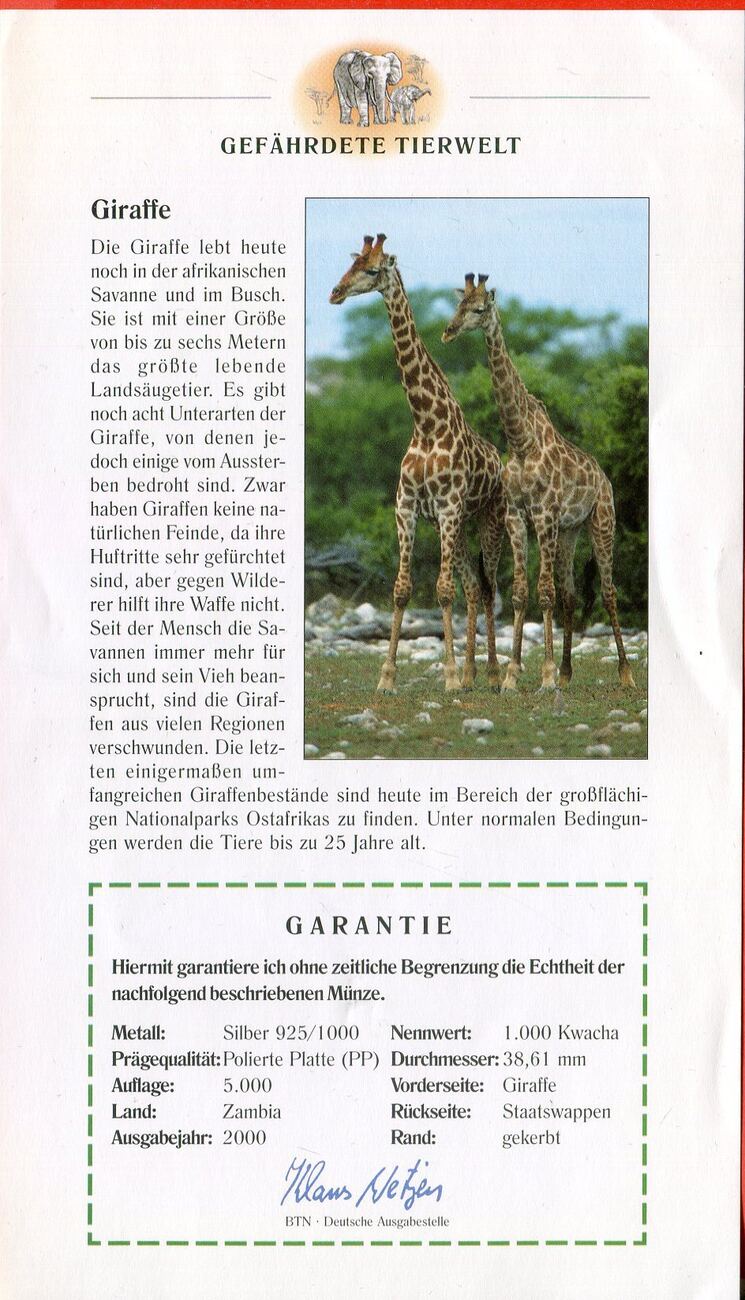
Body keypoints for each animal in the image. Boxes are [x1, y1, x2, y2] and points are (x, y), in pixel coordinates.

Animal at [329, 236, 505, 694]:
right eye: (353, 263)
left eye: (374, 270)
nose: (335, 293)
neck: (426, 423)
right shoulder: (407, 508)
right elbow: (402, 589)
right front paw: (387, 677)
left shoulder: (447, 508)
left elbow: (441, 591)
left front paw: (448, 677)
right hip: (457, 531)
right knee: (473, 586)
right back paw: (472, 673)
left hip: (488, 519)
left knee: (489, 587)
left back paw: (493, 674)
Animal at [442, 274, 635, 692]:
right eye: (458, 305)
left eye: (479, 309)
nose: (448, 331)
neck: (521, 440)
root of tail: (605, 478)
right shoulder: (517, 516)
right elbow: (521, 593)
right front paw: (513, 675)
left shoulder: (544, 515)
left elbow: (543, 593)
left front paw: (543, 676)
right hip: (569, 532)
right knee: (571, 594)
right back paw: (566, 672)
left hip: (602, 522)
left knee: (608, 592)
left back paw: (624, 673)